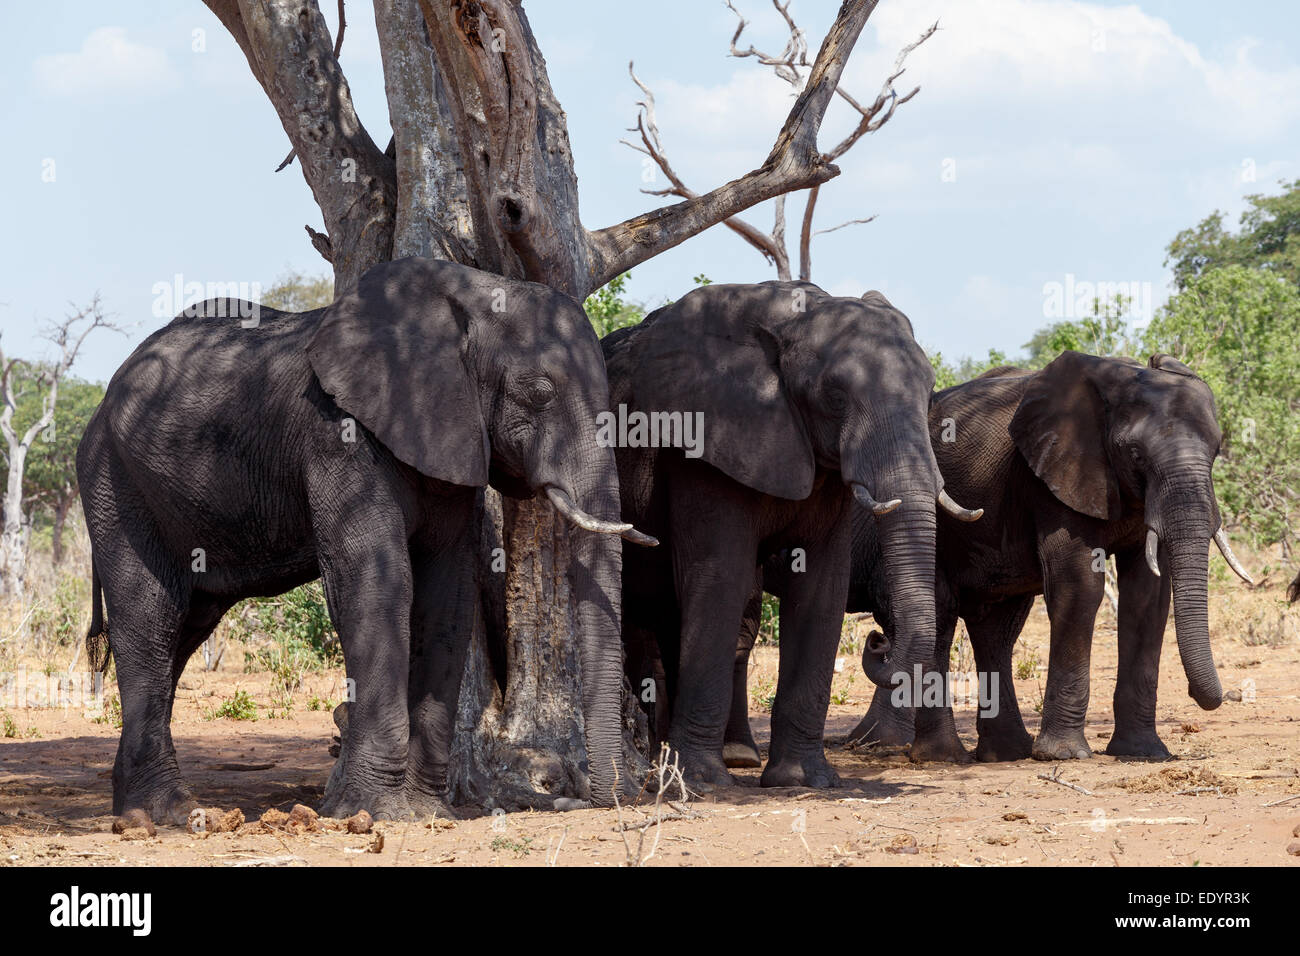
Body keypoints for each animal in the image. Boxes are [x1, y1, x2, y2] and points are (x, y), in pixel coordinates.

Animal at [77, 256, 654, 825]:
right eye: (539, 392)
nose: (603, 799)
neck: (471, 292)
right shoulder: (340, 434)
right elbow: (379, 583)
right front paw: (371, 811)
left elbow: (448, 595)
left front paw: (425, 811)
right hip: (116, 483)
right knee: (151, 619)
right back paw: (166, 813)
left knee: (187, 626)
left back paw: (134, 806)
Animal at [603, 281, 981, 789]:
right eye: (836, 397)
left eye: (928, 396)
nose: (878, 642)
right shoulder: (702, 445)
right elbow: (720, 577)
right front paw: (703, 783)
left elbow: (822, 584)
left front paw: (803, 780)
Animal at [726, 350, 1253, 765]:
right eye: (1136, 455)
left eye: (1217, 451)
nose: (1215, 697)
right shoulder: (1050, 478)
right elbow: (1079, 584)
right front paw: (1065, 756)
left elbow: (1148, 597)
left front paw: (1143, 754)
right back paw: (941, 757)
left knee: (992, 626)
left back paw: (1001, 753)